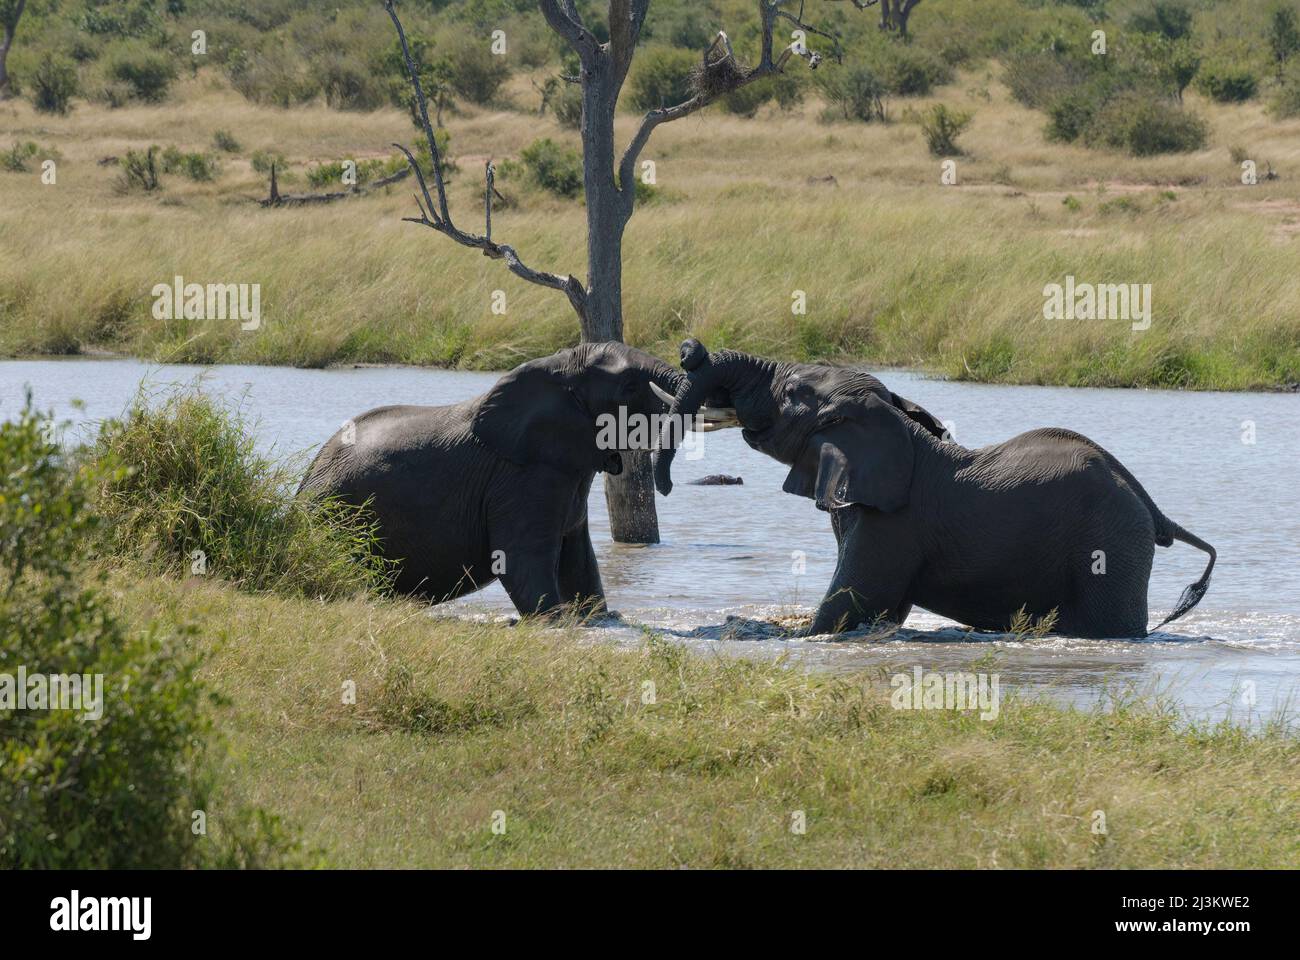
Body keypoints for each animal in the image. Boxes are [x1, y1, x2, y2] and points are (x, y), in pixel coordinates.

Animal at [299, 342, 683, 618]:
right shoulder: (522, 478)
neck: (558, 367)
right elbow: (517, 555)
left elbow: (579, 557)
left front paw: (598, 618)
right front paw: (552, 622)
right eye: (629, 386)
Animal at [652, 339, 1215, 639]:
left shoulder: (893, 524)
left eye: (790, 392)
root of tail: (1152, 508)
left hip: (1111, 545)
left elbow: (850, 607)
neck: (902, 430)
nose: (688, 350)